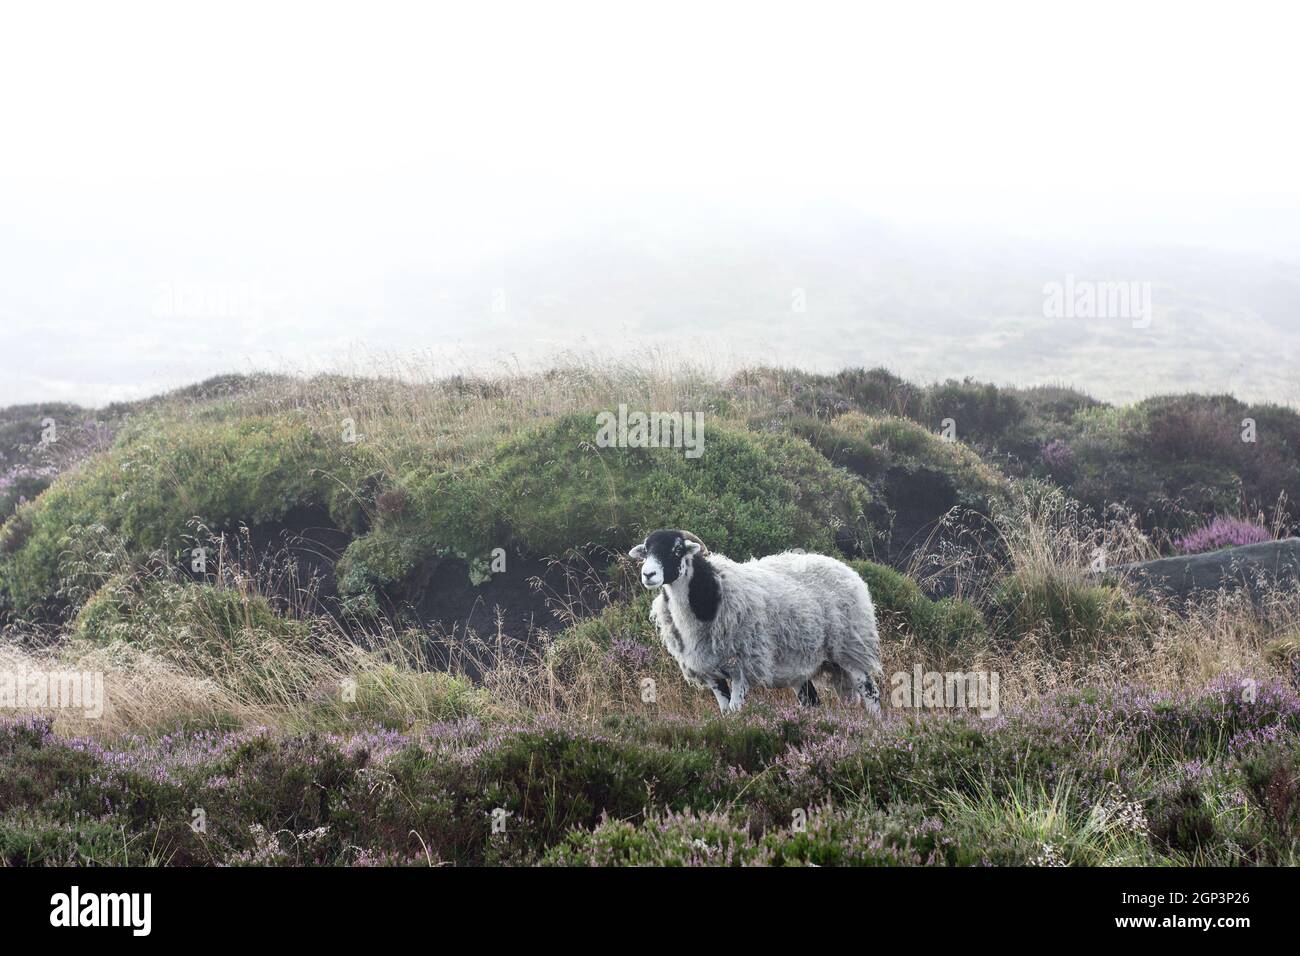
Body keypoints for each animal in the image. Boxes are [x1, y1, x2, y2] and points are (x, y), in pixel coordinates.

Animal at [629, 529, 882, 714]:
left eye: (677, 549)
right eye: (647, 551)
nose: (648, 575)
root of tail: (845, 568)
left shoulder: (742, 667)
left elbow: (735, 709)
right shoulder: (711, 673)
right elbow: (725, 712)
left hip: (851, 647)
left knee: (870, 692)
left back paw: (875, 723)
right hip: (799, 661)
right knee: (811, 701)